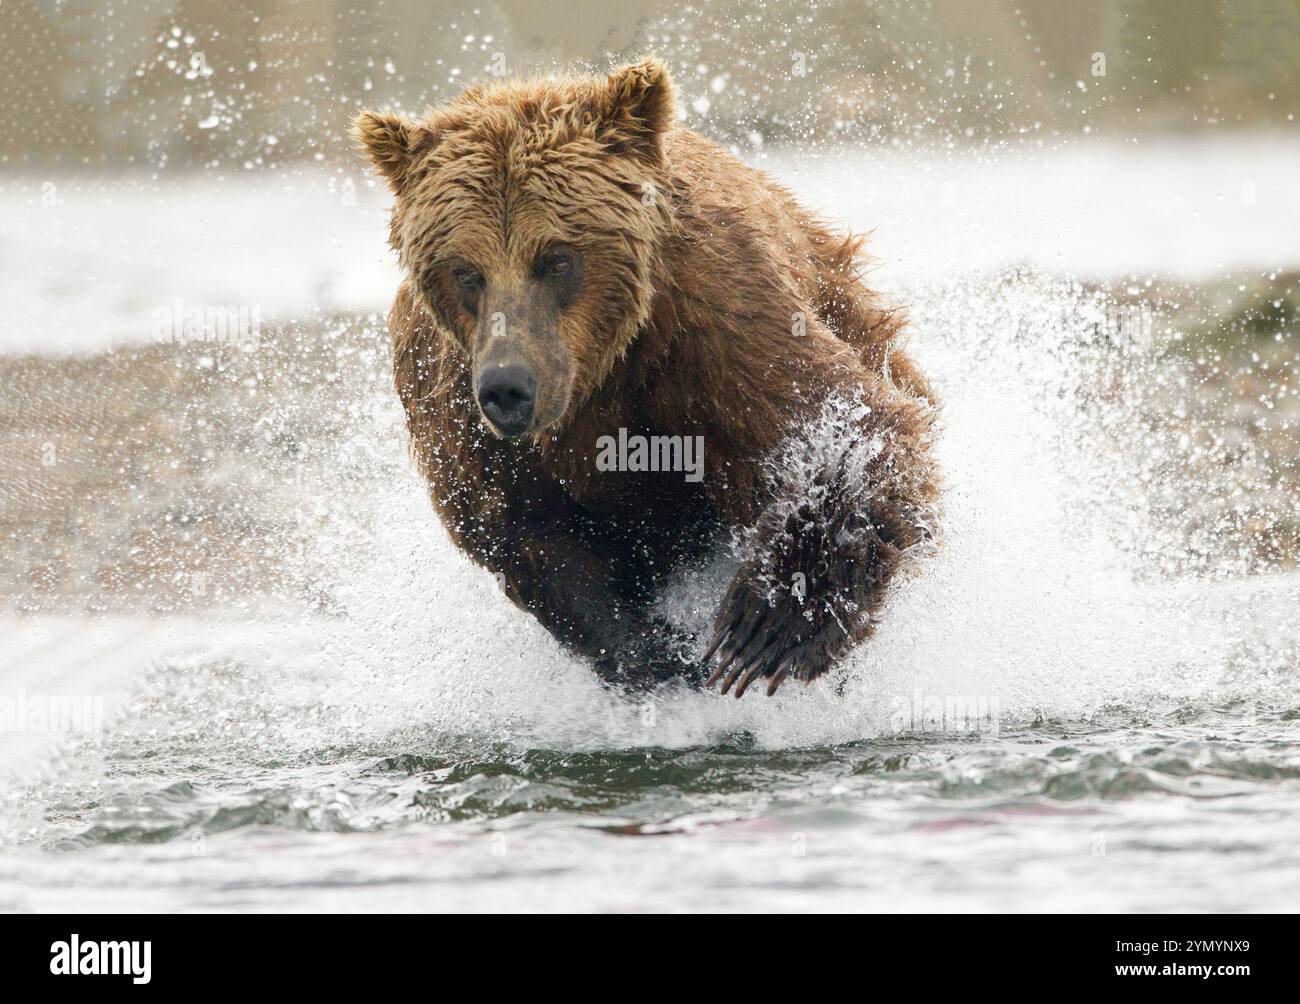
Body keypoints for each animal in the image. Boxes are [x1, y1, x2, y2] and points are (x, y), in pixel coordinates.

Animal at [355, 59, 938, 698]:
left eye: (557, 259)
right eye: (466, 271)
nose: (509, 387)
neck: (599, 375)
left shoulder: (715, 317)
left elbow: (840, 427)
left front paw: (763, 629)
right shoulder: (458, 409)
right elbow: (526, 536)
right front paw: (655, 655)